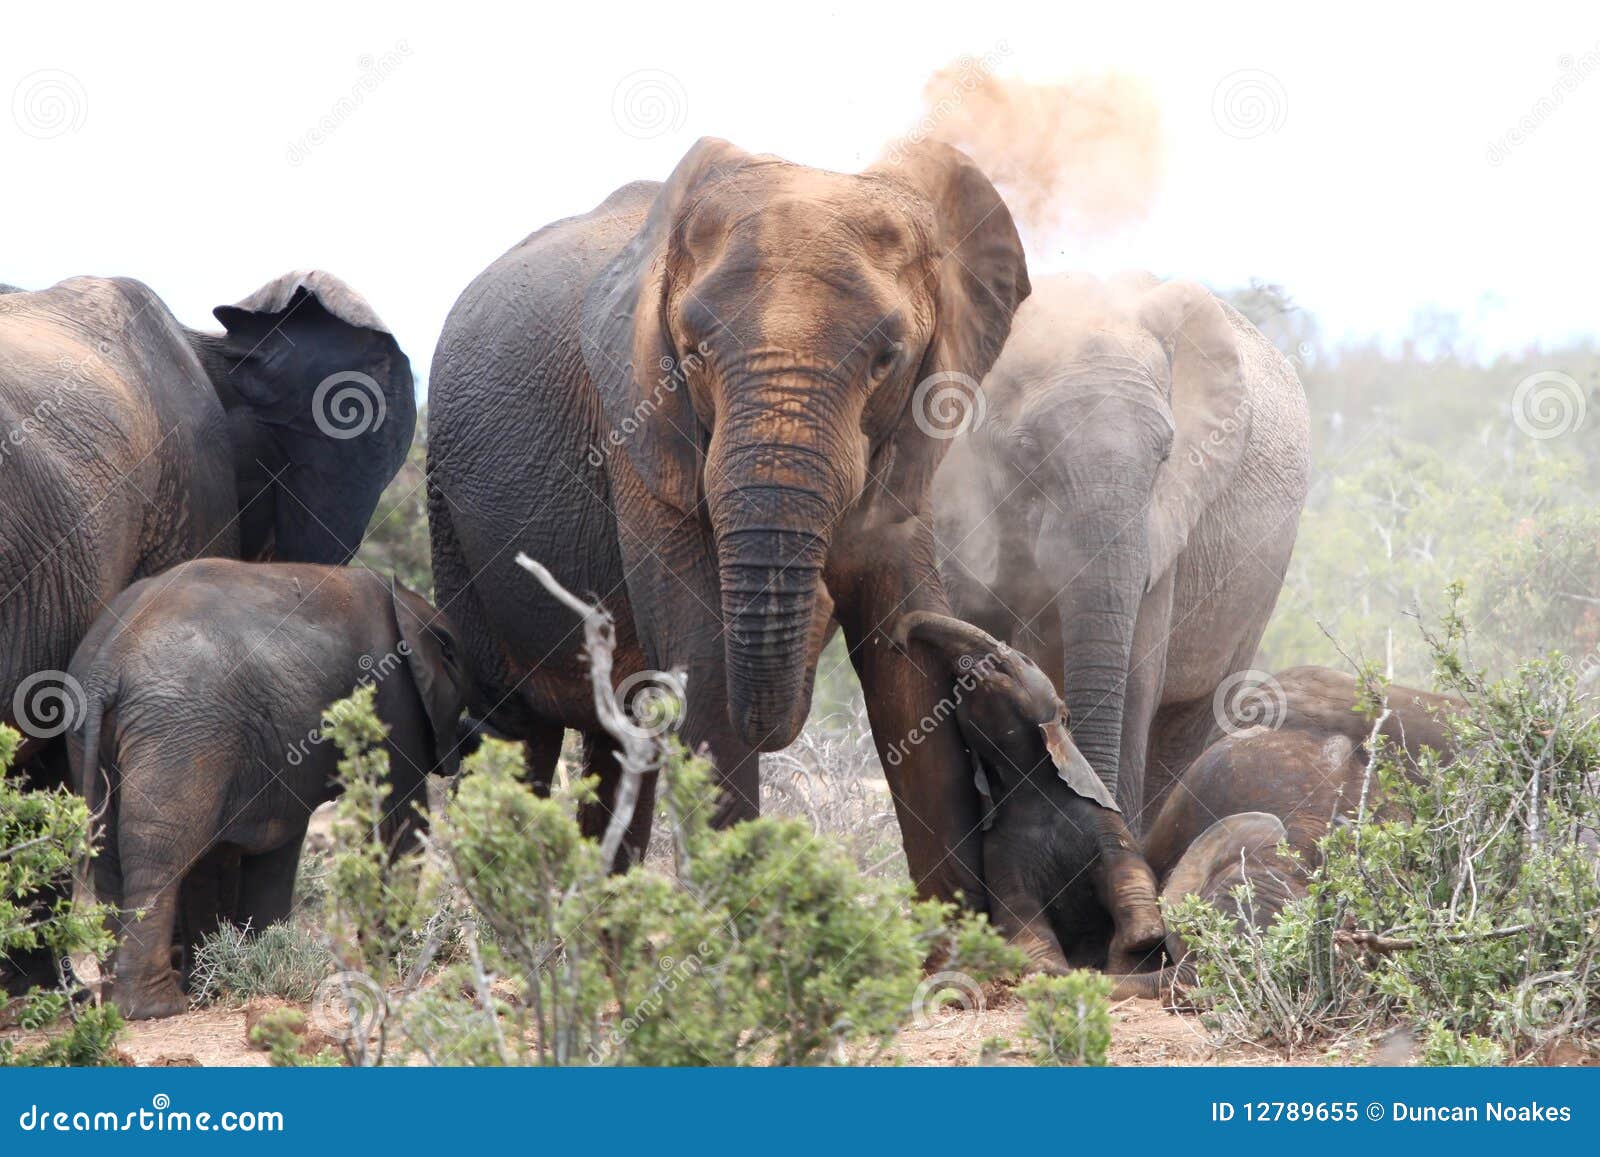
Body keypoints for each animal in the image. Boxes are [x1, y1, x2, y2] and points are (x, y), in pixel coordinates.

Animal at [65, 559, 467, 1019]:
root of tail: (105, 666)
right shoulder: (393, 696)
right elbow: (397, 818)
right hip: (180, 727)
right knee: (161, 850)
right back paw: (156, 1008)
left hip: (113, 735)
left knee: (113, 853)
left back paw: (124, 1004)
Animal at [426, 136, 1076, 923]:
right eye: (693, 351)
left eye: (886, 359)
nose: (822, 597)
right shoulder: (638, 429)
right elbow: (706, 662)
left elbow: (907, 682)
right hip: (448, 515)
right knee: (512, 732)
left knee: (618, 746)